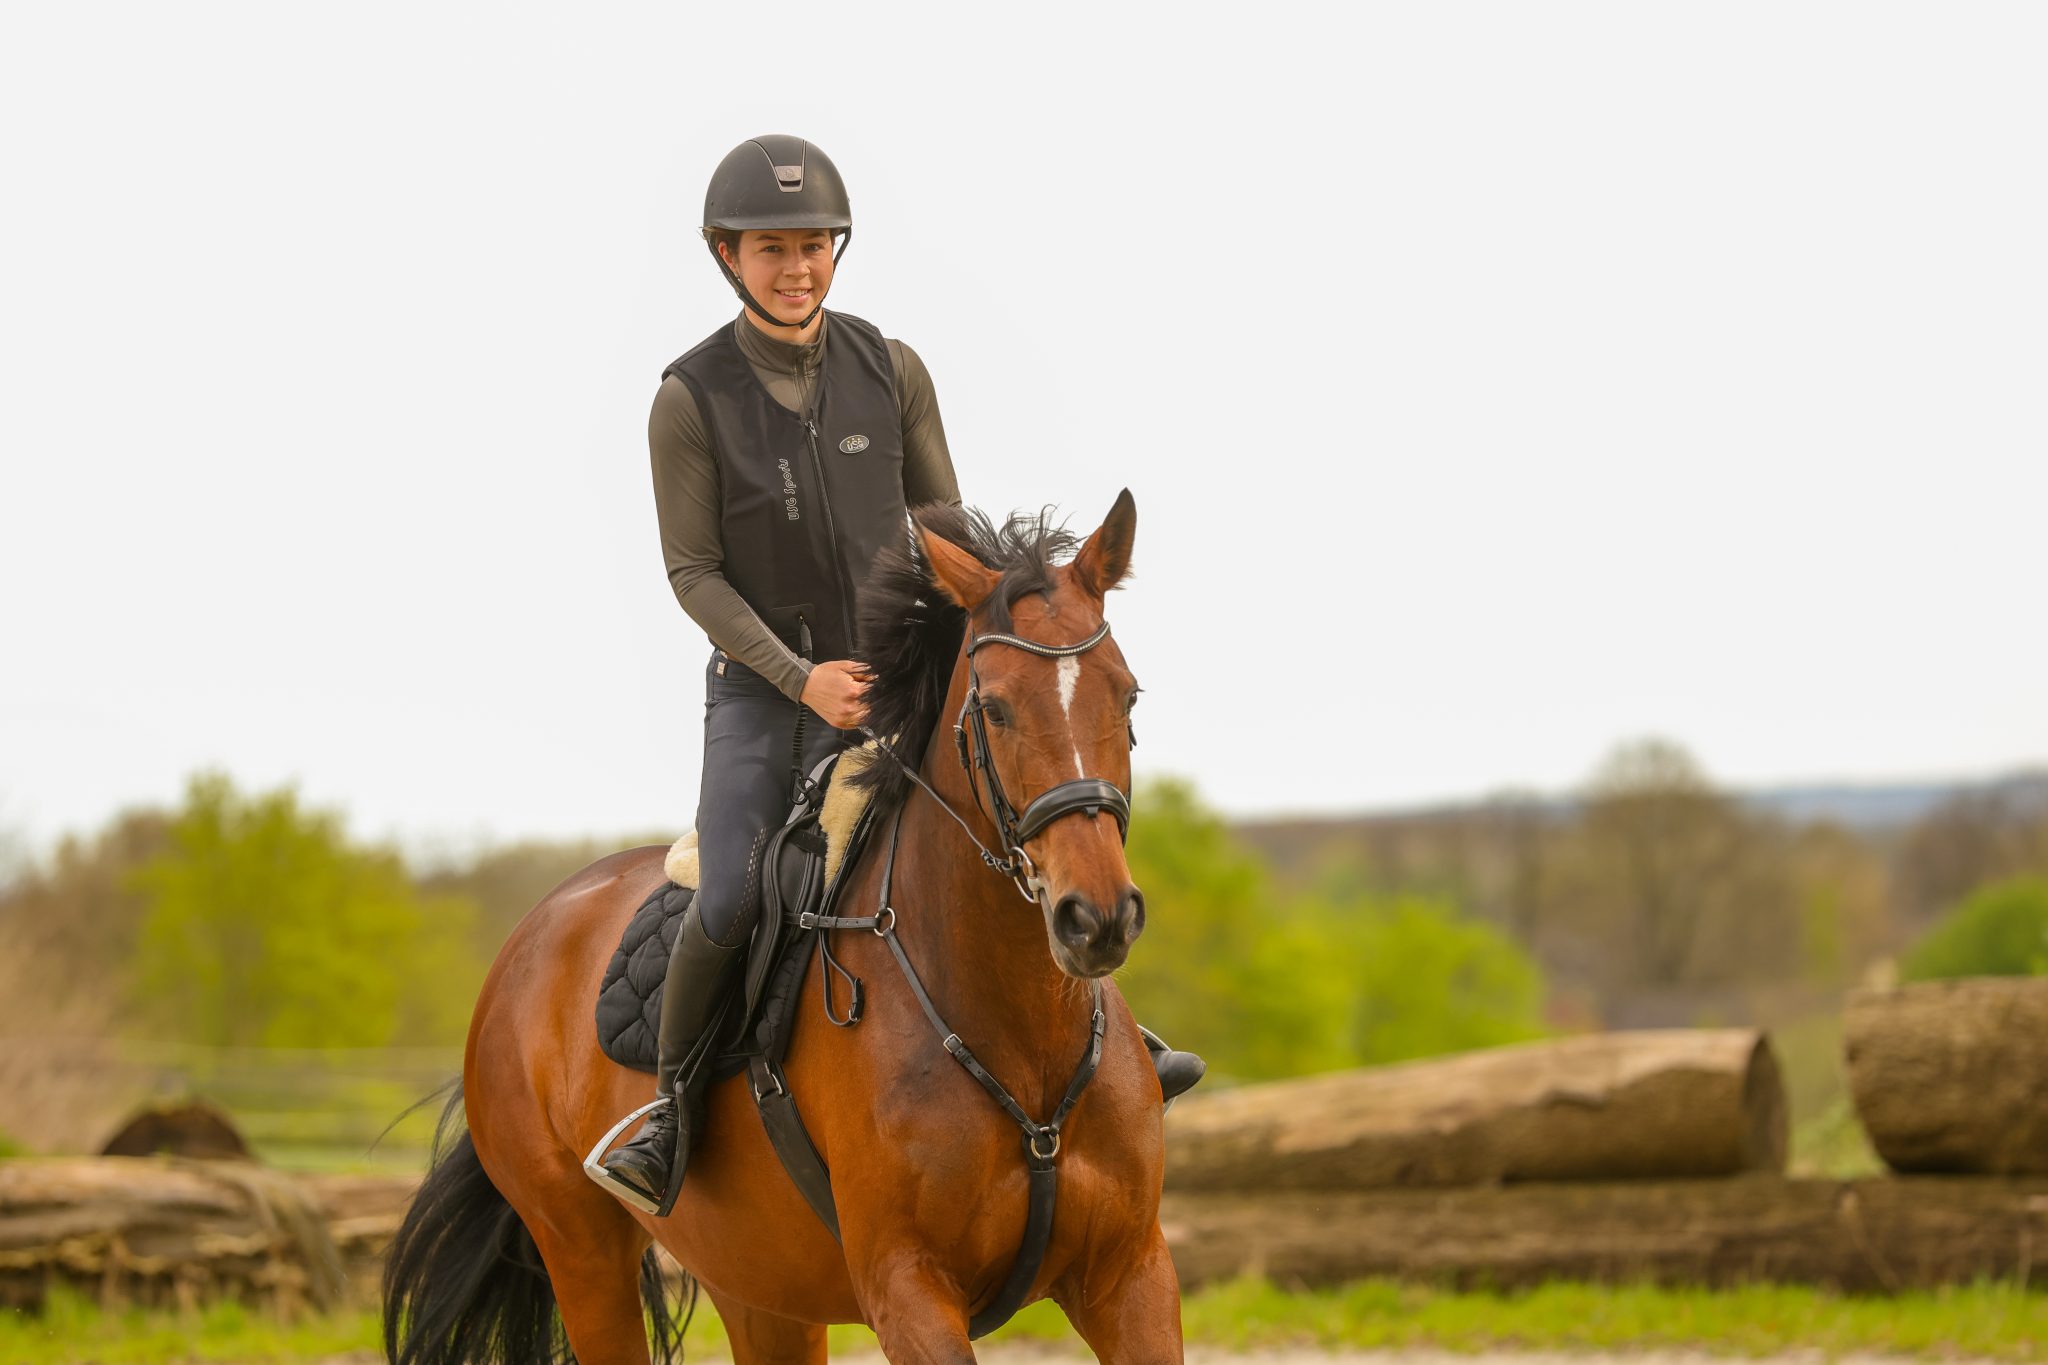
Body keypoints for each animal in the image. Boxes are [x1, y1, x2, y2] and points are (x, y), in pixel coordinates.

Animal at [383, 491, 1184, 1365]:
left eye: (1128, 695)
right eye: (996, 708)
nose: (1095, 917)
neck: (1019, 1029)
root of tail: (527, 942)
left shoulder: (1130, 1275)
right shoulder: (907, 1287)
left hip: (760, 1287)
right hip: (580, 1249)